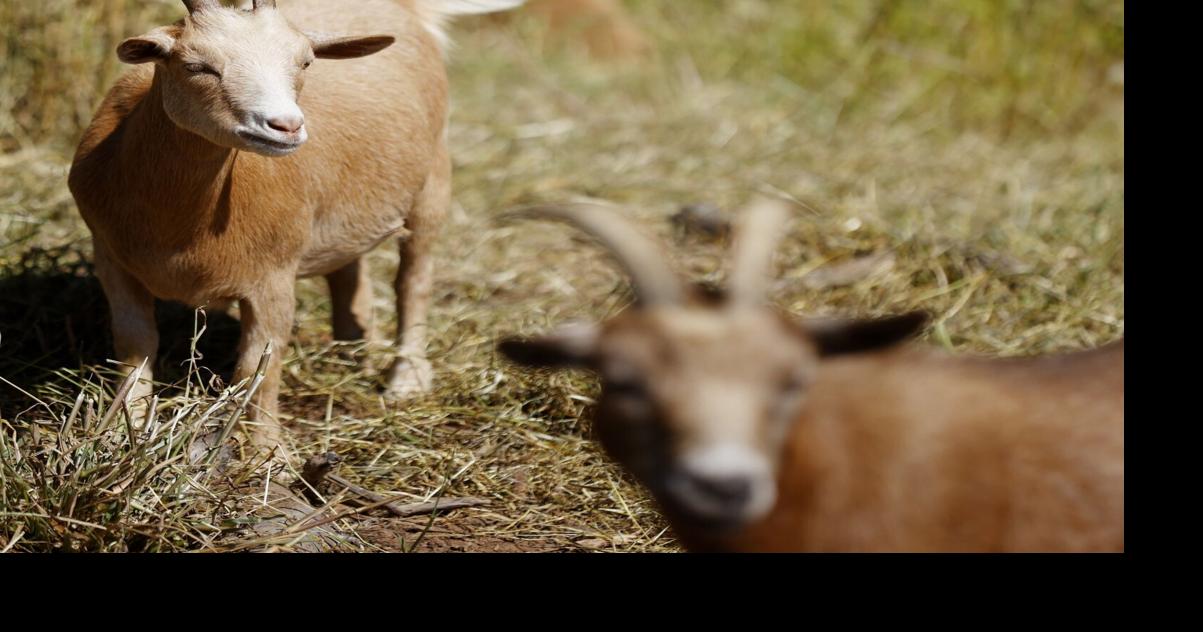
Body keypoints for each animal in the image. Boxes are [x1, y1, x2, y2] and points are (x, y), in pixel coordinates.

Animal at [68, 0, 524, 451]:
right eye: (197, 66)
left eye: (304, 62)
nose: (285, 125)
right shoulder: (109, 256)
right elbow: (134, 344)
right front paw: (117, 432)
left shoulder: (272, 275)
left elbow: (258, 365)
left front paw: (266, 453)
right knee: (349, 272)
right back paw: (352, 351)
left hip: (433, 182)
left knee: (414, 279)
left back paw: (406, 379)